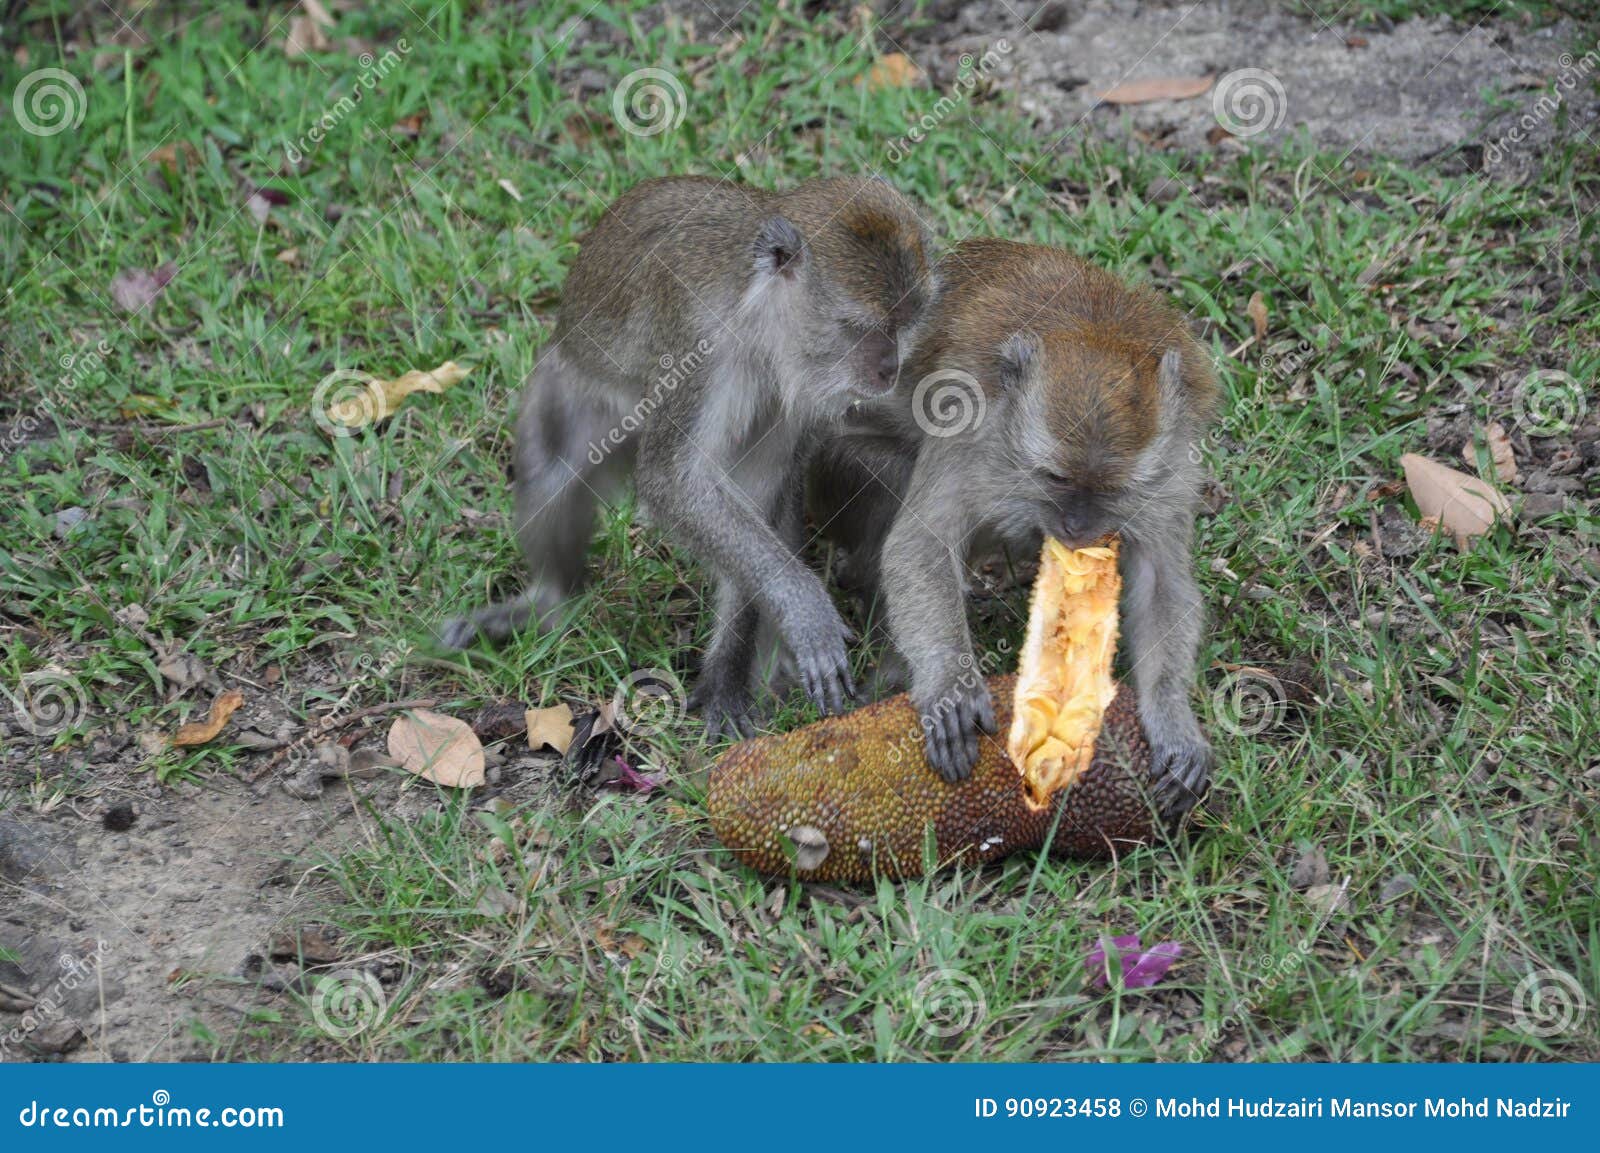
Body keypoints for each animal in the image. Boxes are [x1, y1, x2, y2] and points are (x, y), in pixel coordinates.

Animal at [441, 175, 937, 741]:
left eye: (905, 324)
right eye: (859, 327)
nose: (889, 370)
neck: (754, 314)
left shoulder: (791, 388)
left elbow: (753, 491)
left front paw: (726, 677)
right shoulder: (699, 350)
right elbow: (673, 482)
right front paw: (802, 605)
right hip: (569, 383)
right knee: (552, 471)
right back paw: (546, 604)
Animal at [810, 238, 1221, 815]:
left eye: (1112, 488)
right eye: (1056, 476)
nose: (1076, 524)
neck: (1096, 325)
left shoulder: (1171, 467)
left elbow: (1163, 583)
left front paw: (1172, 720)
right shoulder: (966, 425)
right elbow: (921, 544)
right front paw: (950, 684)